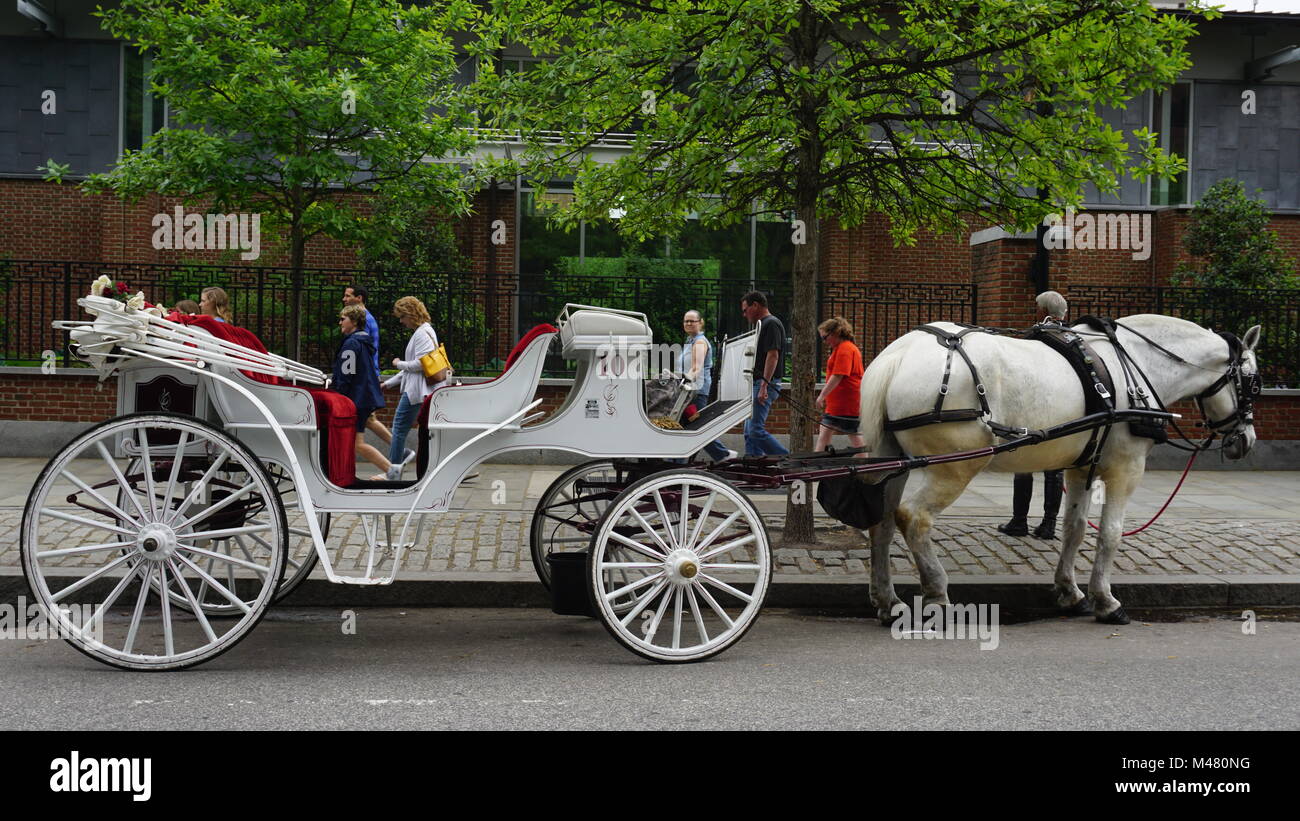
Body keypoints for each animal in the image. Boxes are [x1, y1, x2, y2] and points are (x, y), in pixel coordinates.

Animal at [857, 314, 1262, 625]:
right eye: (1254, 383)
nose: (1246, 441)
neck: (1134, 366)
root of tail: (901, 353)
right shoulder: (1126, 468)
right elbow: (1110, 534)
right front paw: (1106, 601)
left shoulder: (1081, 467)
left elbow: (1075, 529)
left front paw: (1070, 591)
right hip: (955, 467)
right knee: (914, 518)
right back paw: (937, 593)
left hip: (893, 461)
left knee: (882, 522)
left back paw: (887, 601)